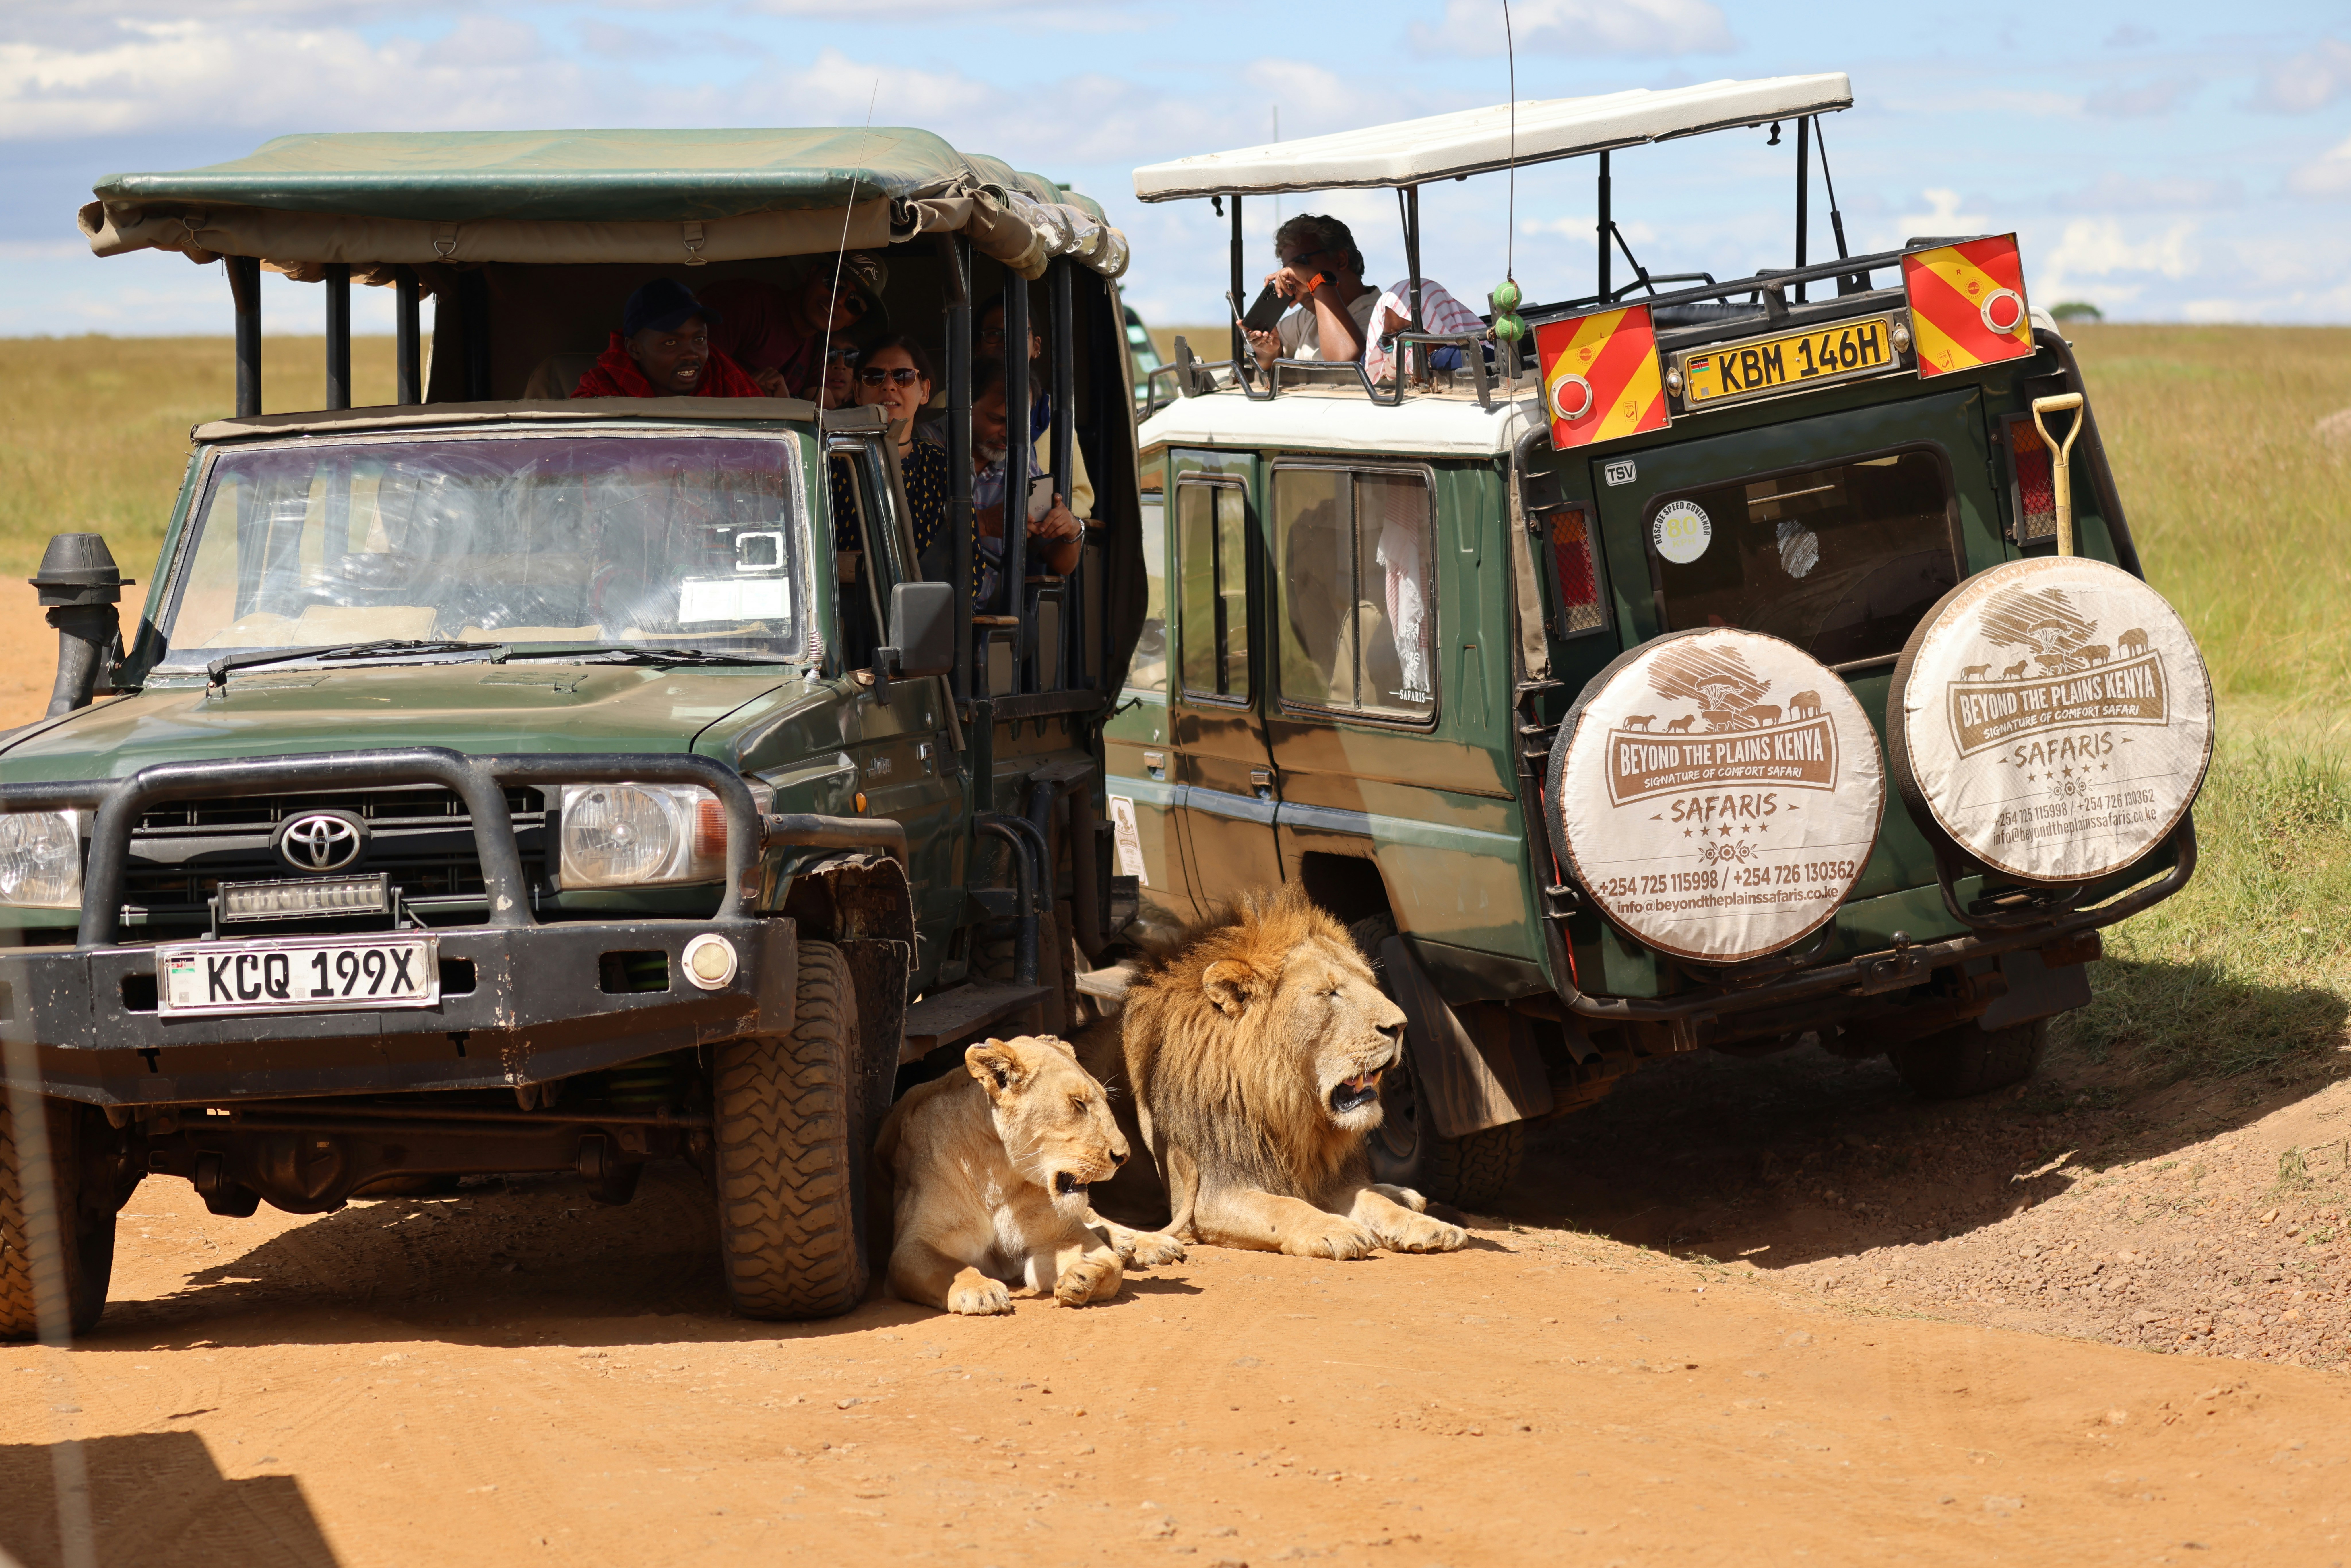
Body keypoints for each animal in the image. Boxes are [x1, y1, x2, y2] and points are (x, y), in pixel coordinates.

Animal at [873, 1034, 1185, 1315]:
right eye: (1078, 1103)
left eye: (1103, 1098)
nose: (1124, 1156)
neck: (998, 1172)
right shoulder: (913, 1245)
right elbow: (950, 1268)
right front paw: (981, 1291)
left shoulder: (1059, 1235)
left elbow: (1111, 1266)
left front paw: (1083, 1277)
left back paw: (1150, 1245)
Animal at [1122, 886, 1469, 1261]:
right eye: (1330, 993)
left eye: (1371, 982)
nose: (1401, 1026)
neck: (1290, 1114)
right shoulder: (1207, 1198)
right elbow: (1284, 1206)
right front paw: (1337, 1230)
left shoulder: (1328, 1179)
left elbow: (1373, 1200)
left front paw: (1430, 1225)